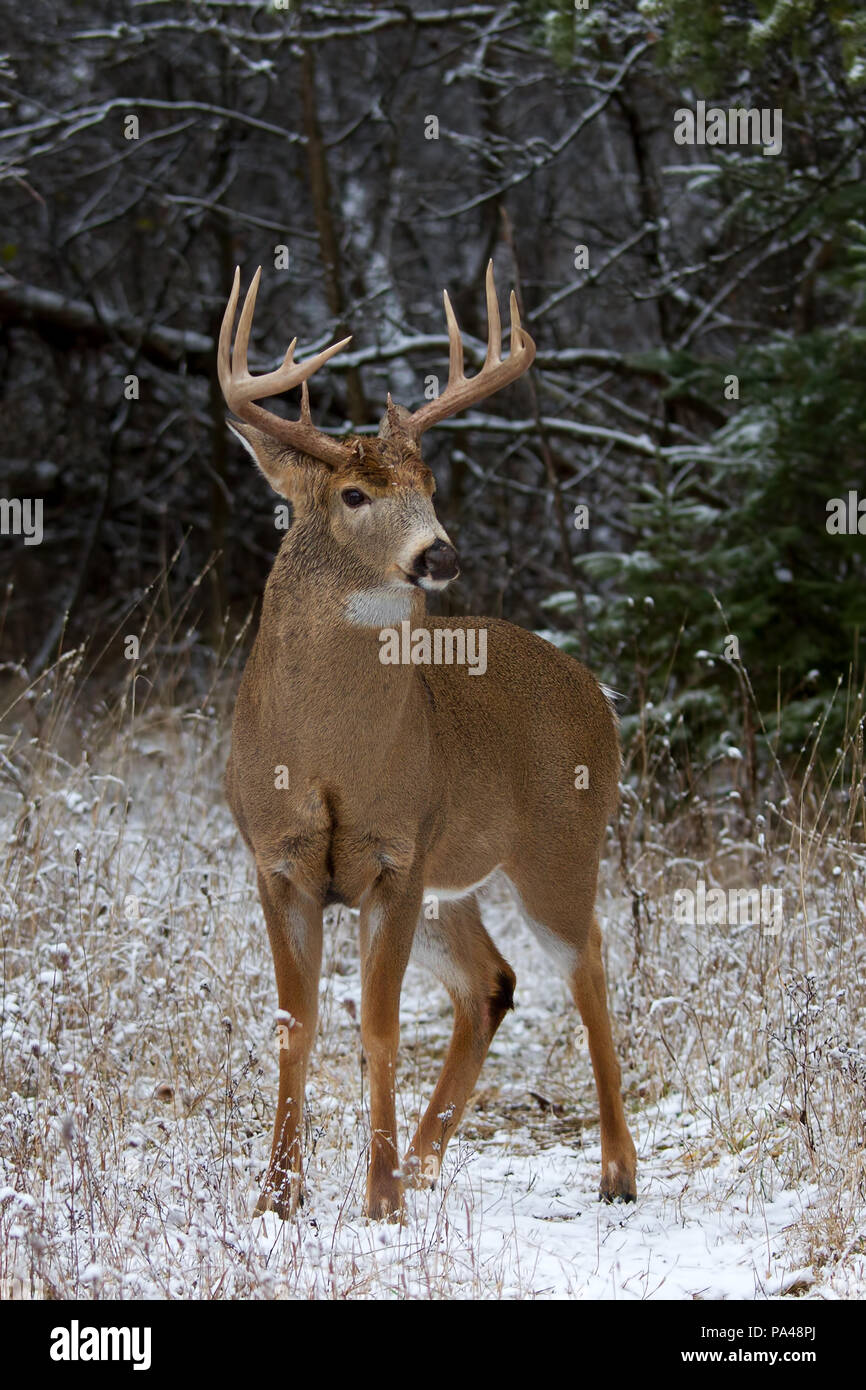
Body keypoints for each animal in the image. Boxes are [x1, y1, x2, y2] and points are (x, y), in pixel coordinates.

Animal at [218, 261, 637, 1221]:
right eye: (354, 494)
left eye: (433, 483)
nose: (439, 554)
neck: (327, 759)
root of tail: (594, 688)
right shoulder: (277, 858)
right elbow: (294, 1027)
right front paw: (277, 1196)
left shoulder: (395, 856)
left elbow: (378, 1027)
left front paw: (378, 1201)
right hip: (458, 880)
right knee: (492, 984)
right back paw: (422, 1159)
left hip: (561, 845)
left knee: (589, 965)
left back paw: (616, 1171)